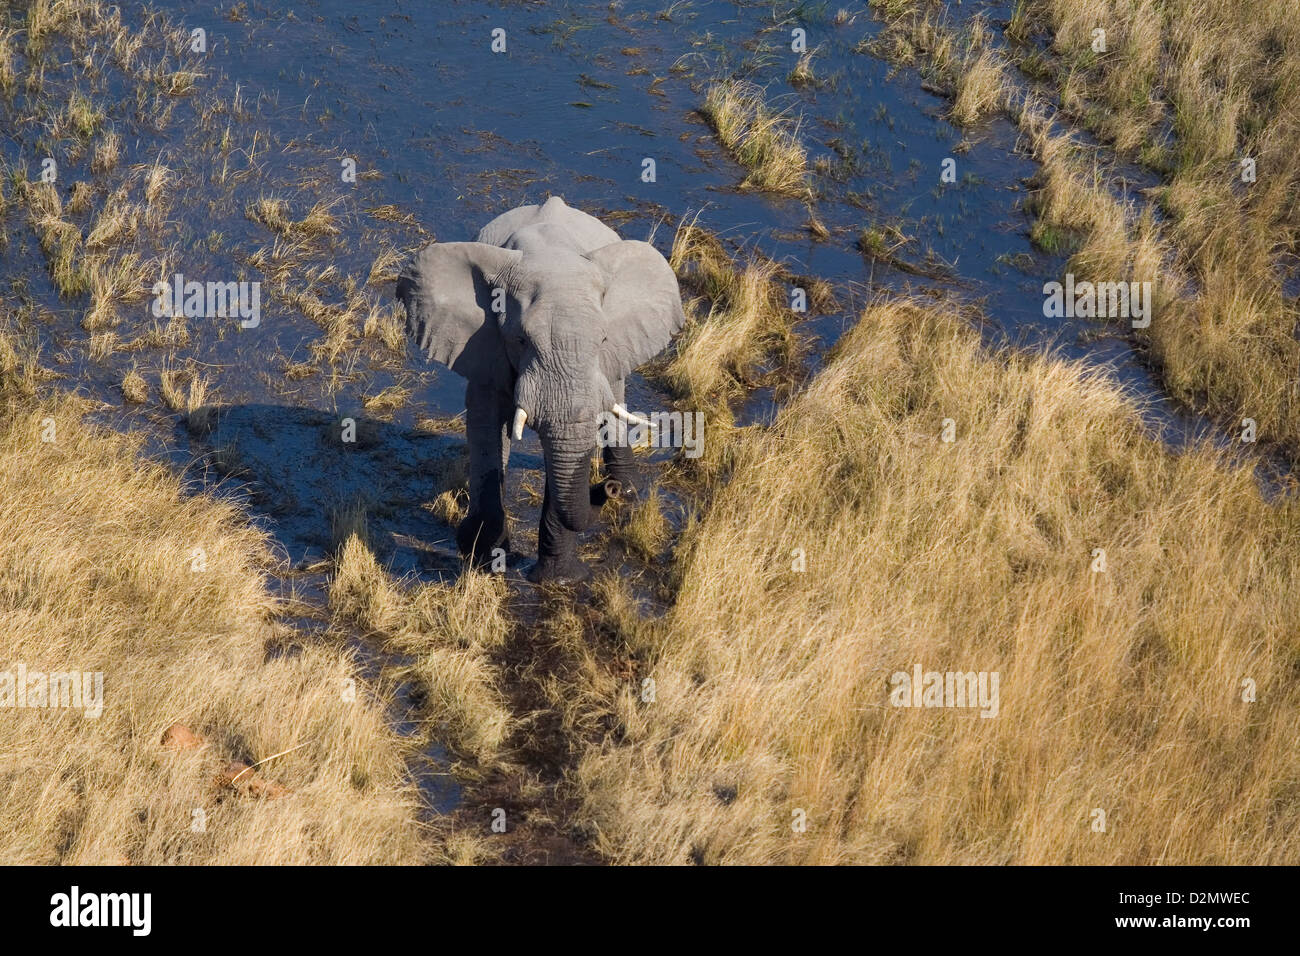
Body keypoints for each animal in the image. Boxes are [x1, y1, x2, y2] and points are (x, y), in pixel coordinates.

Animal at [396, 196, 686, 583]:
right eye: (520, 340)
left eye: (602, 339)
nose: (604, 490)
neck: (550, 252)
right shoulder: (486, 346)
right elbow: (487, 427)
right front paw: (484, 554)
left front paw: (557, 579)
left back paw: (626, 488)